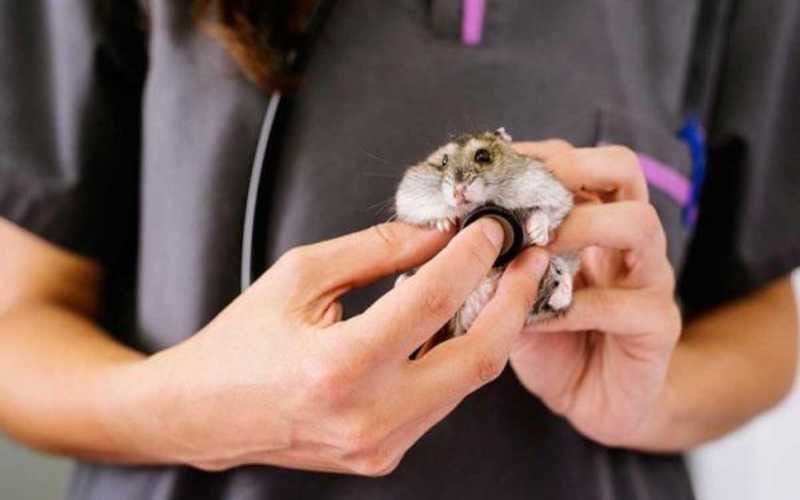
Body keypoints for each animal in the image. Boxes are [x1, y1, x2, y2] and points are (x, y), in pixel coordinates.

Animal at [394, 128, 580, 337]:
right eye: (443, 162)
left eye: (482, 156)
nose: (458, 191)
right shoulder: (408, 201)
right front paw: (444, 223)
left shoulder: (552, 191)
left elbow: (547, 211)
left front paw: (537, 234)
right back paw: (403, 281)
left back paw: (561, 287)